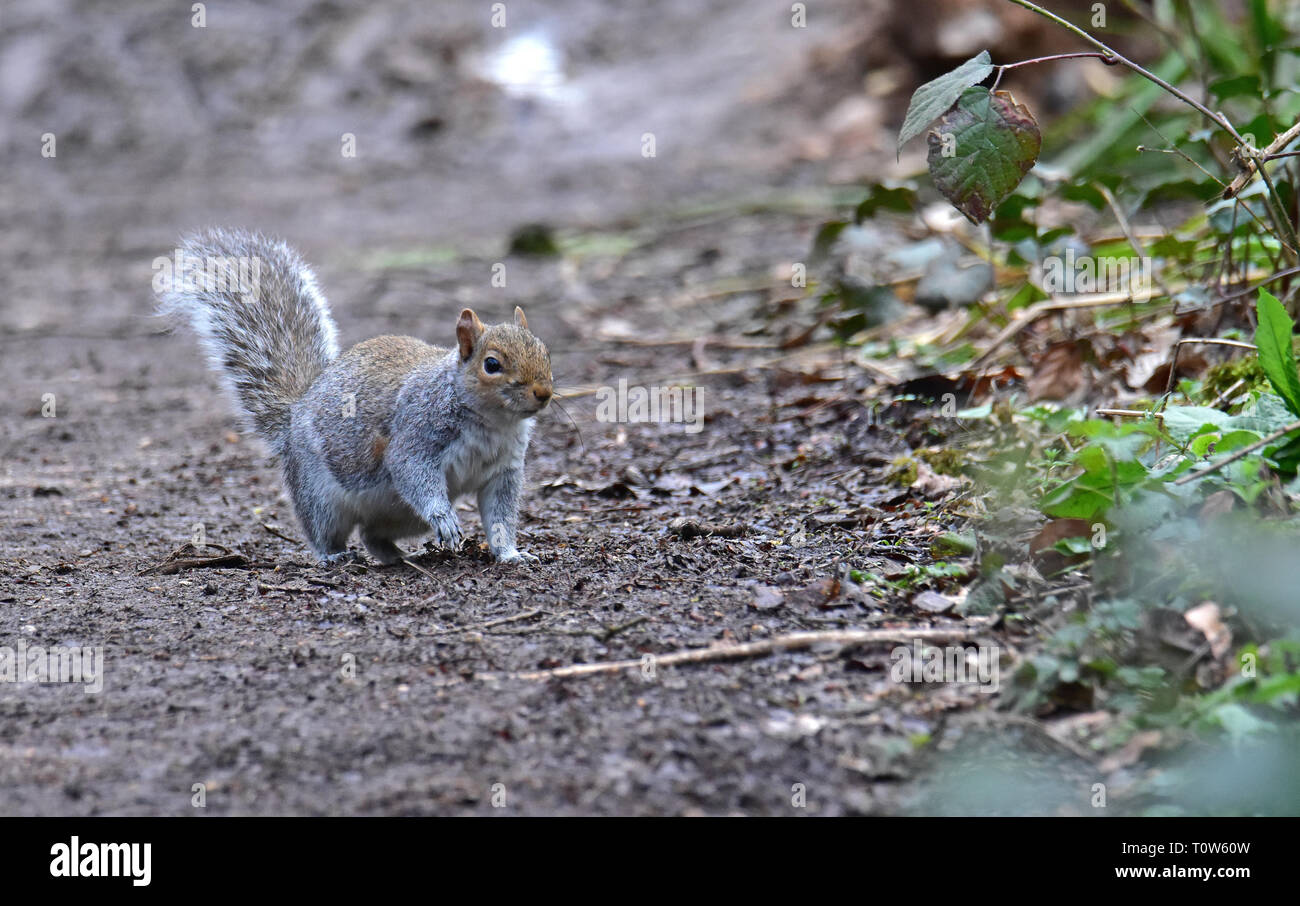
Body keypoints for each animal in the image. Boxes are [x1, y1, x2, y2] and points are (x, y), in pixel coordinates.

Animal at [158, 228, 553, 565]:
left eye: (545, 351)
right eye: (491, 364)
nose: (544, 393)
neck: (491, 422)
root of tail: (295, 413)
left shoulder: (503, 470)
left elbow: (501, 517)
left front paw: (511, 554)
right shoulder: (418, 431)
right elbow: (412, 470)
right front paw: (445, 520)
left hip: (402, 516)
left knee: (371, 535)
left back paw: (400, 555)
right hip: (320, 496)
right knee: (326, 531)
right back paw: (334, 556)